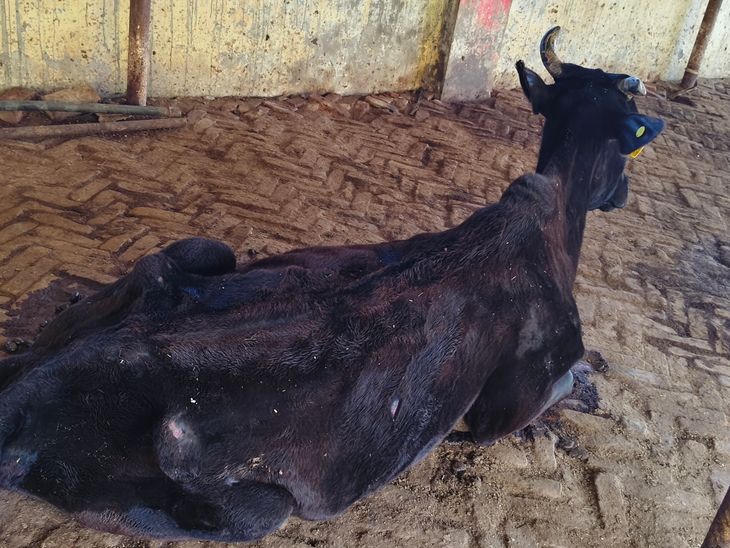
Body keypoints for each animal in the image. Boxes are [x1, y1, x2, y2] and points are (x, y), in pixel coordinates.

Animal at [0, 28, 663, 541]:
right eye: (629, 149)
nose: (623, 195)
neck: (554, 219)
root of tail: (29, 384)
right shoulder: (508, 407)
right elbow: (564, 384)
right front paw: (590, 382)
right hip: (254, 509)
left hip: (199, 252)